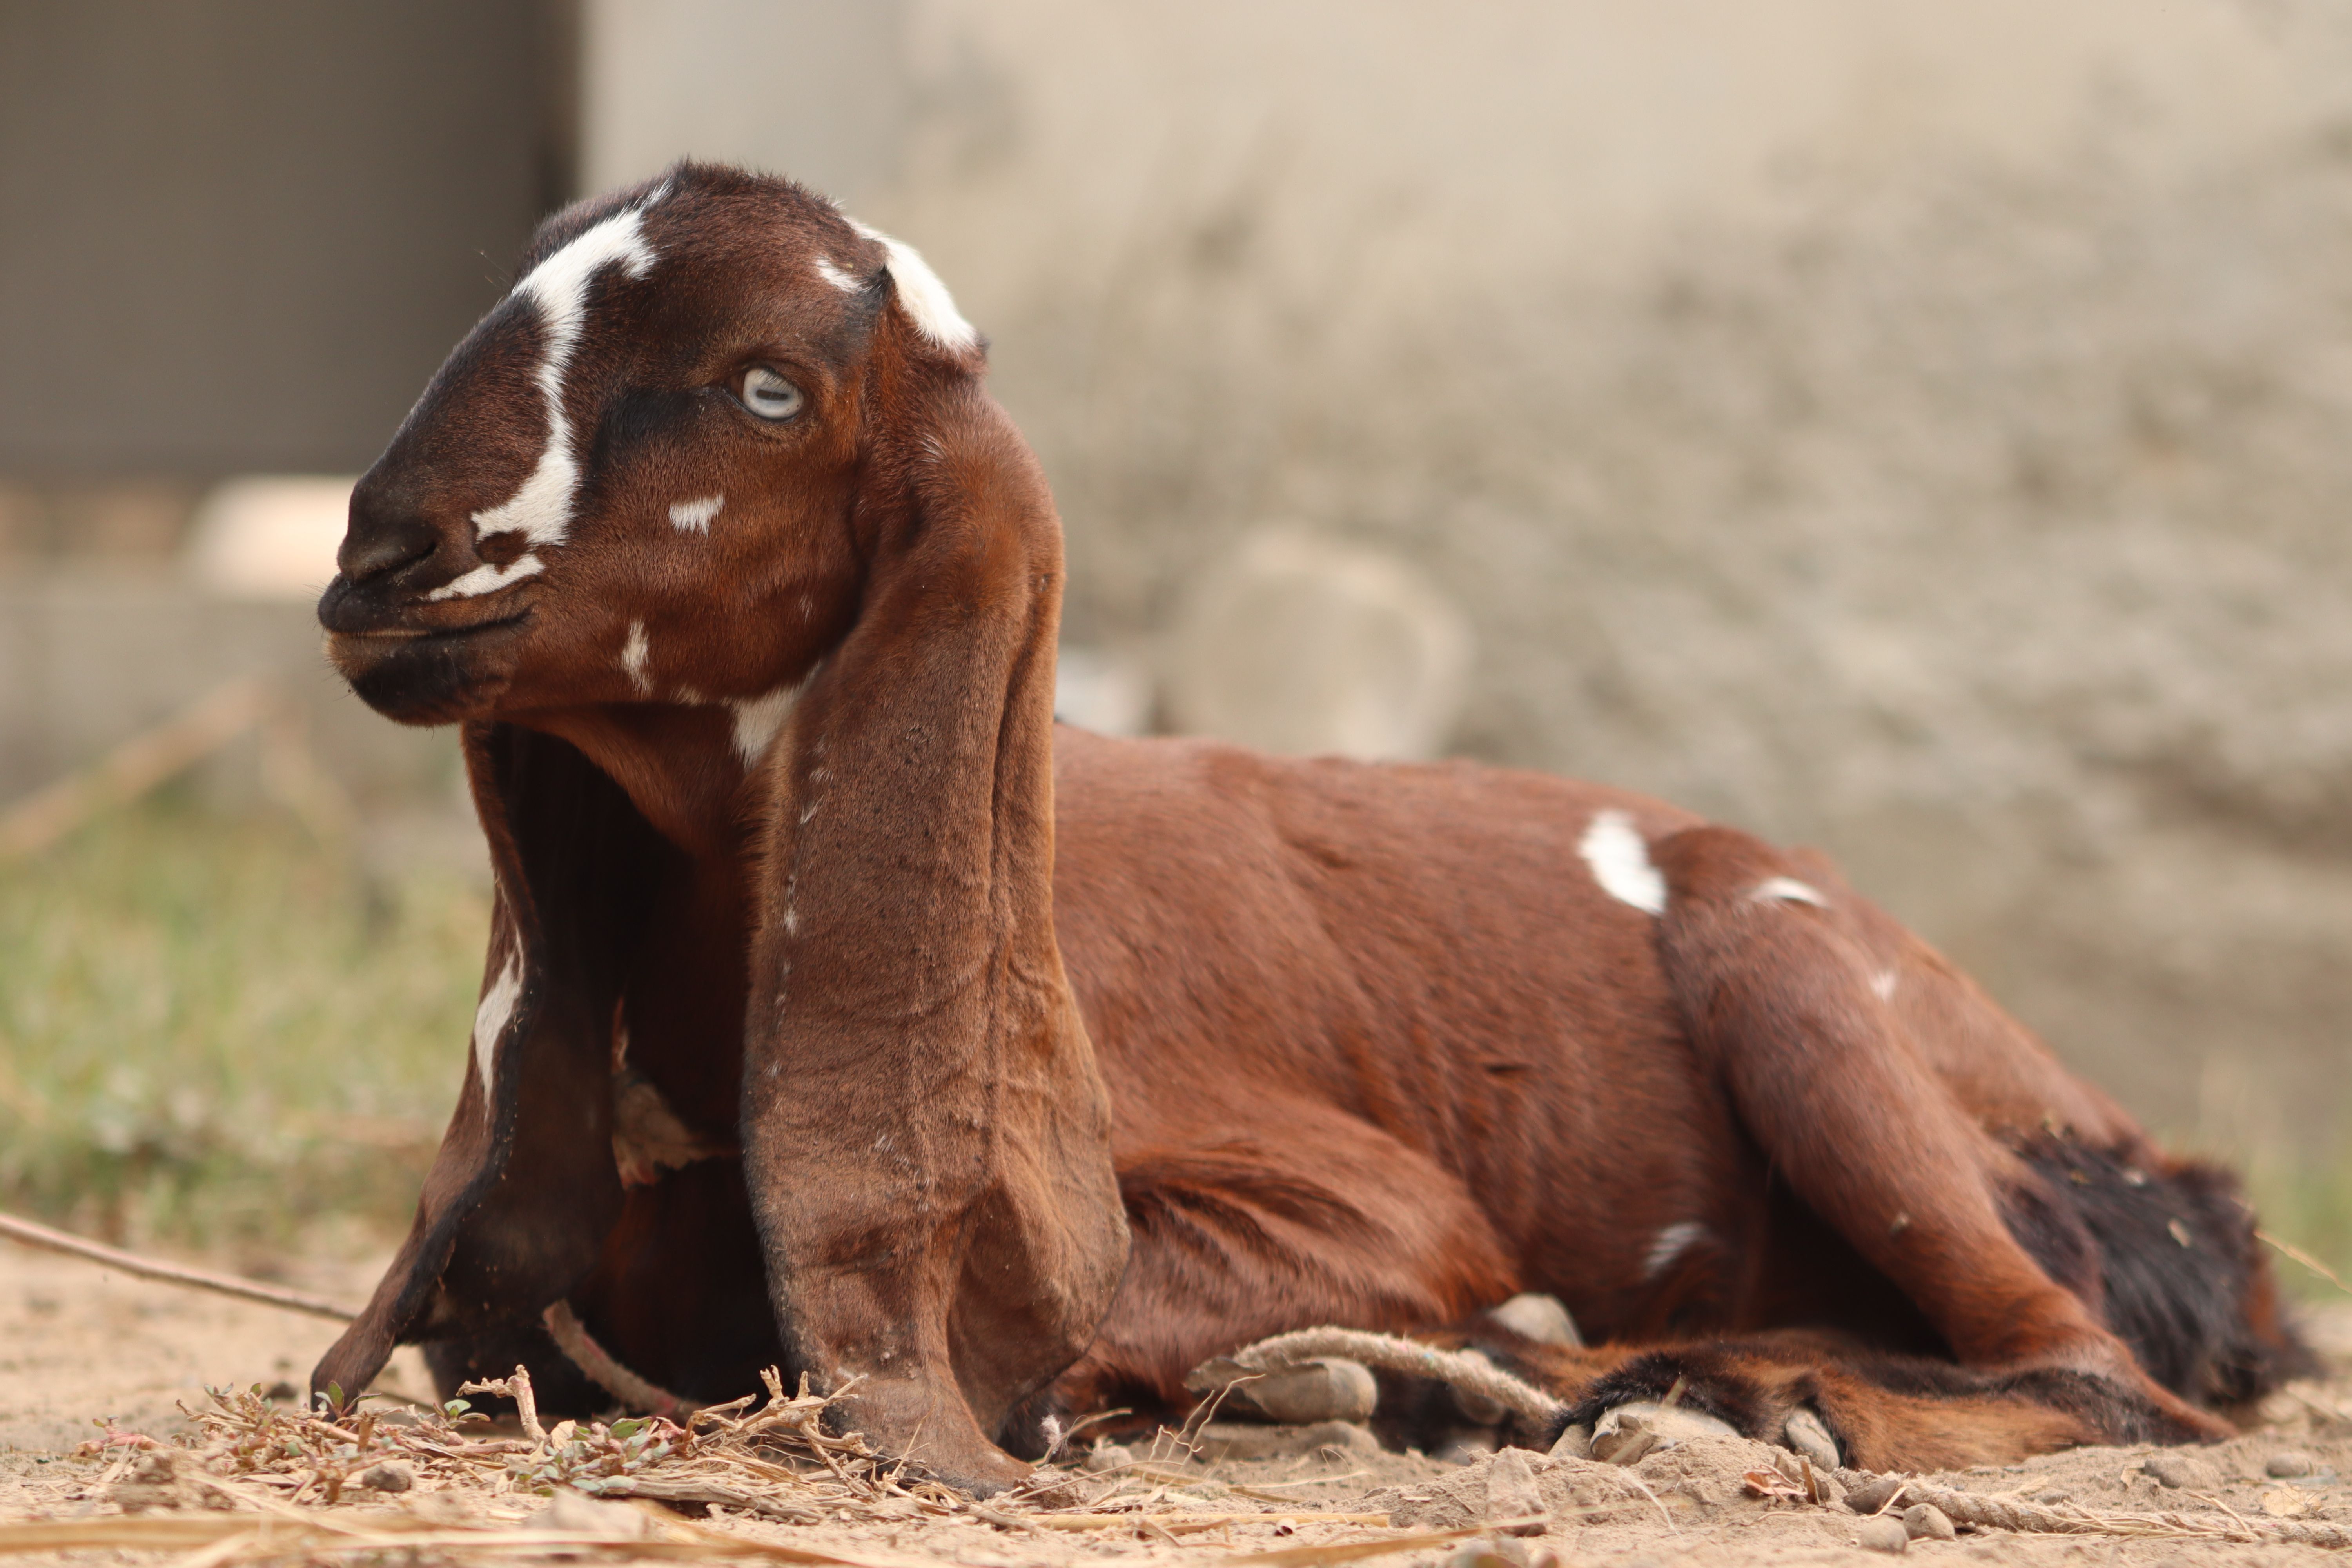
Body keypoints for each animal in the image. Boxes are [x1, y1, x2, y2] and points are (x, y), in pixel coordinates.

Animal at [313, 164, 2307, 1492]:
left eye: (766, 386)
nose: (382, 559)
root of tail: (2179, 1181)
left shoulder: (1371, 1201)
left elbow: (1144, 1323)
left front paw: (1455, 1362)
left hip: (1796, 978)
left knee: (2100, 1370)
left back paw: (1738, 1398)